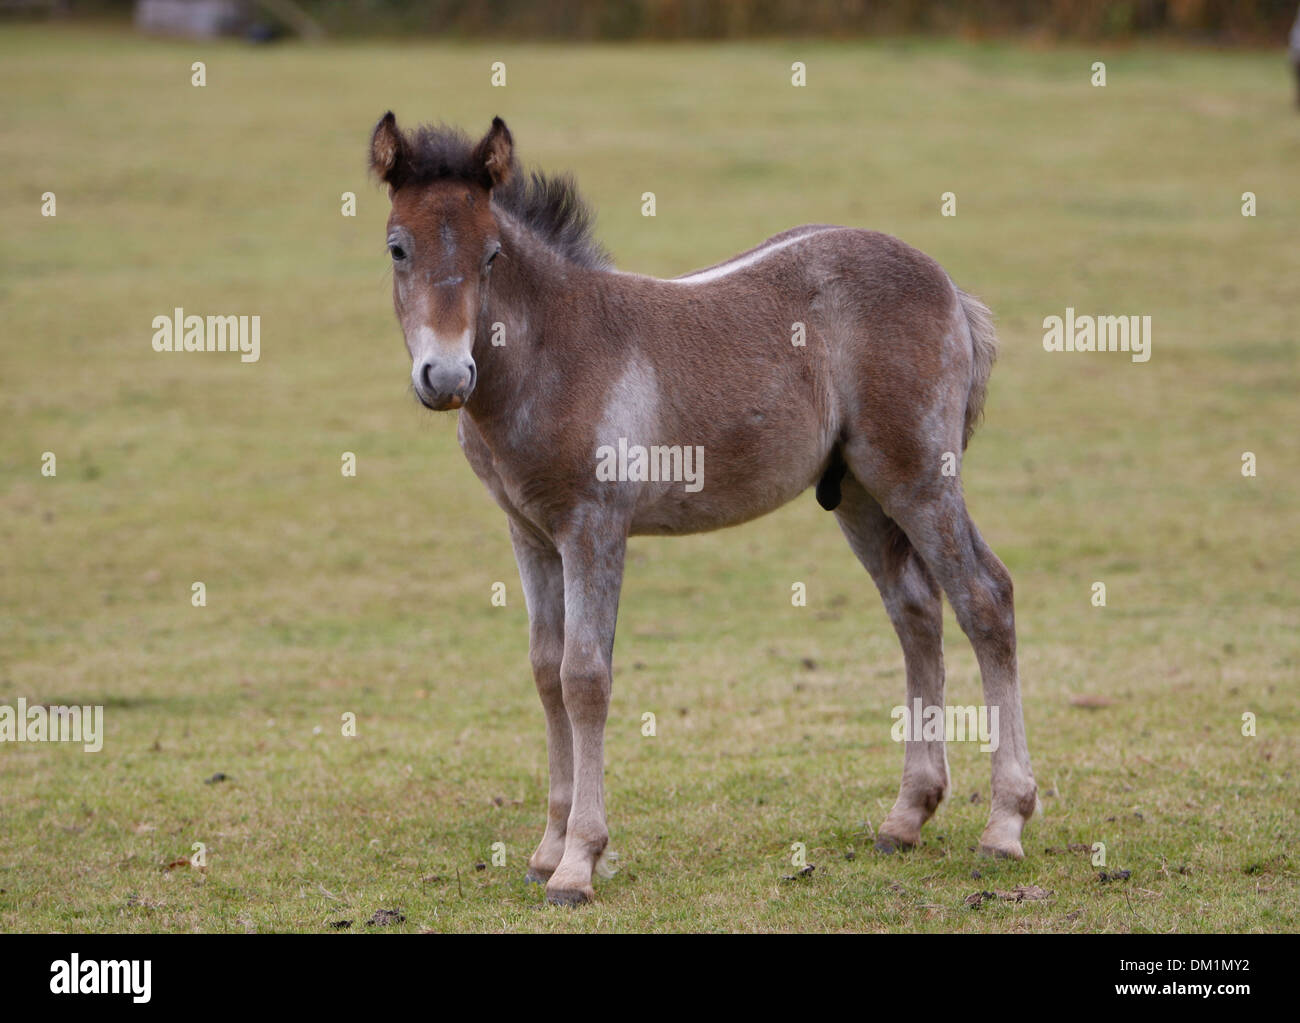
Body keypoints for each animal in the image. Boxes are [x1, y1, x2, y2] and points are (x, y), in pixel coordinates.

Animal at [369, 113, 1037, 906]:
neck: (549, 354)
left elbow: (585, 677)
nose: (445, 376)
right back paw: (906, 816)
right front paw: (547, 847)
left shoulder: (594, 526)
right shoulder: (529, 532)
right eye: (398, 247)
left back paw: (1004, 824)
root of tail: (949, 287)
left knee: (984, 597)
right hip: (861, 494)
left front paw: (578, 863)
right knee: (916, 612)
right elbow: (544, 669)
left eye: (492, 254)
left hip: (920, 479)